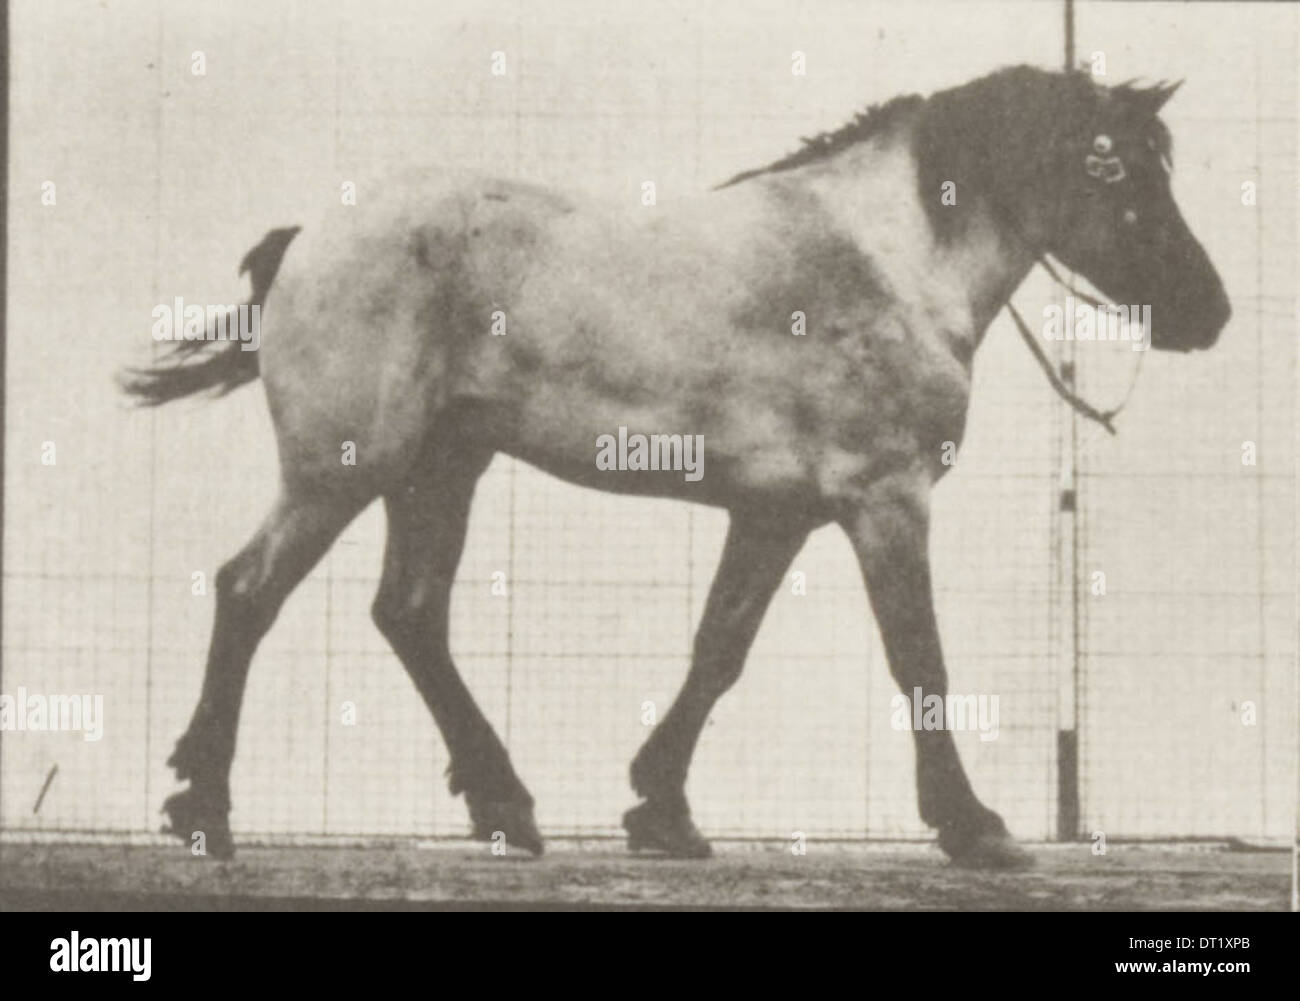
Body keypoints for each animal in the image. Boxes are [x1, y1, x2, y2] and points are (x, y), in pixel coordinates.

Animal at [122, 64, 1230, 868]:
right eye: (1115, 171)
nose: (1207, 310)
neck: (887, 261)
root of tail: (311, 235)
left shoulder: (776, 514)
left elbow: (718, 650)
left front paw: (660, 808)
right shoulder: (884, 501)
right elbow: (918, 658)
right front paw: (973, 823)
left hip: (442, 468)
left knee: (409, 613)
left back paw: (505, 804)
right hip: (345, 470)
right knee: (250, 590)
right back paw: (204, 806)